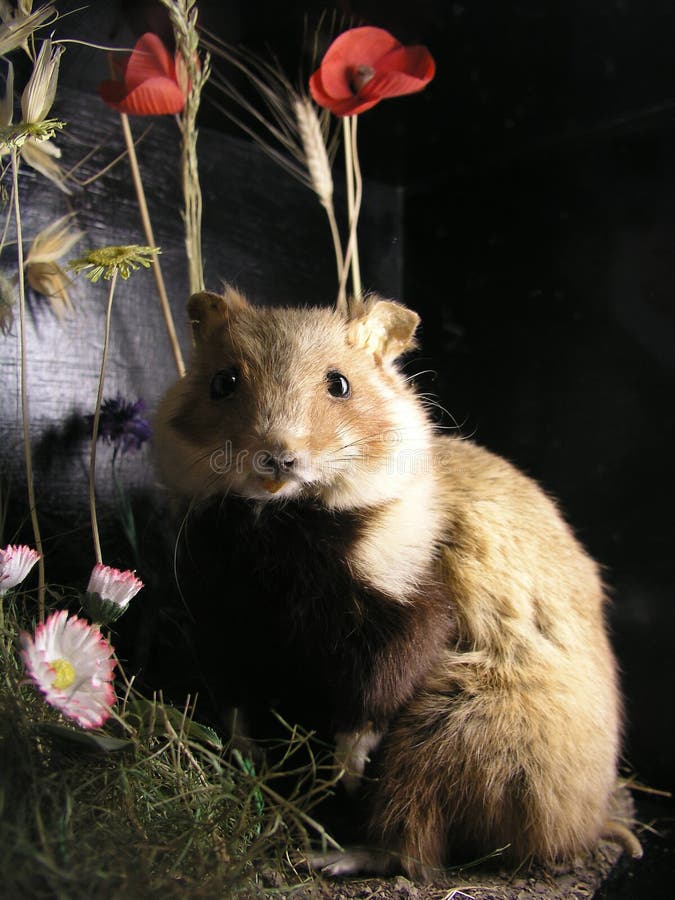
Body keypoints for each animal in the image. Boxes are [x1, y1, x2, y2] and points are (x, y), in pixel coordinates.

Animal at [154, 288, 641, 879]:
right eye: (223, 382)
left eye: (339, 384)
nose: (277, 458)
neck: (282, 525)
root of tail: (585, 829)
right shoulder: (225, 615)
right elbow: (234, 698)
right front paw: (247, 751)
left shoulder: (409, 612)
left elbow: (372, 700)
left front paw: (345, 772)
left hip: (445, 733)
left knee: (411, 846)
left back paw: (329, 855)